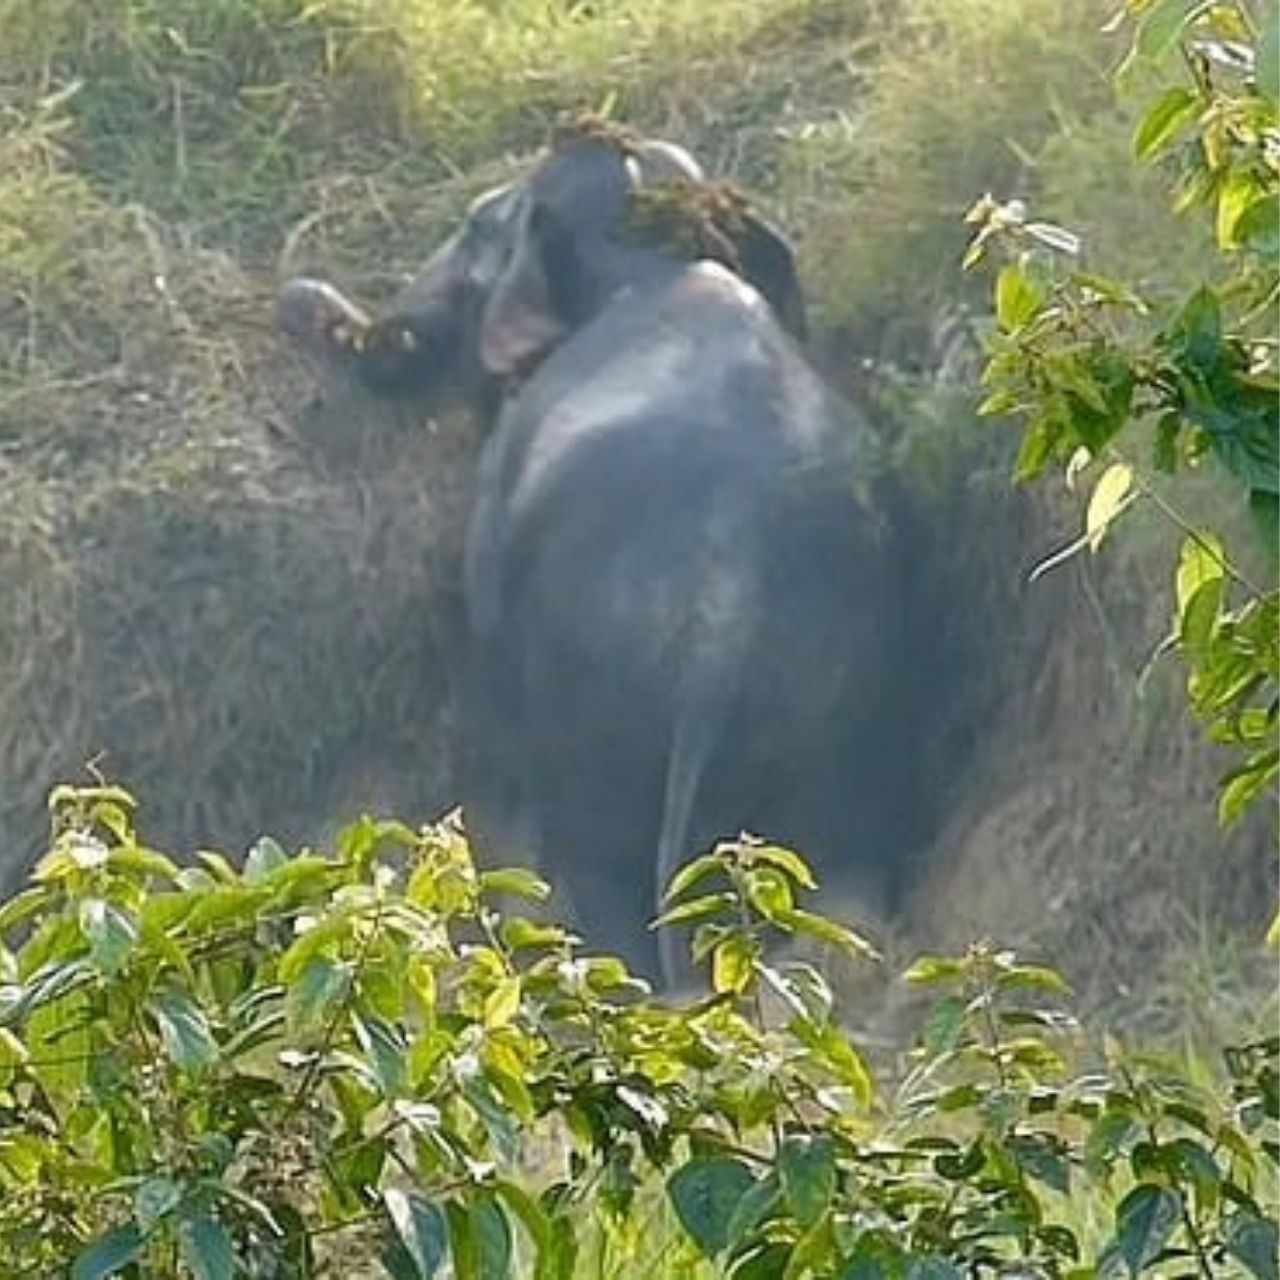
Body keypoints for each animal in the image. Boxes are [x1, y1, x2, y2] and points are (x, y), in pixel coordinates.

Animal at [276, 120, 916, 985]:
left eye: (477, 226)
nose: (297, 292)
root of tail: (722, 633)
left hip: (594, 726)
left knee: (596, 865)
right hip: (837, 716)